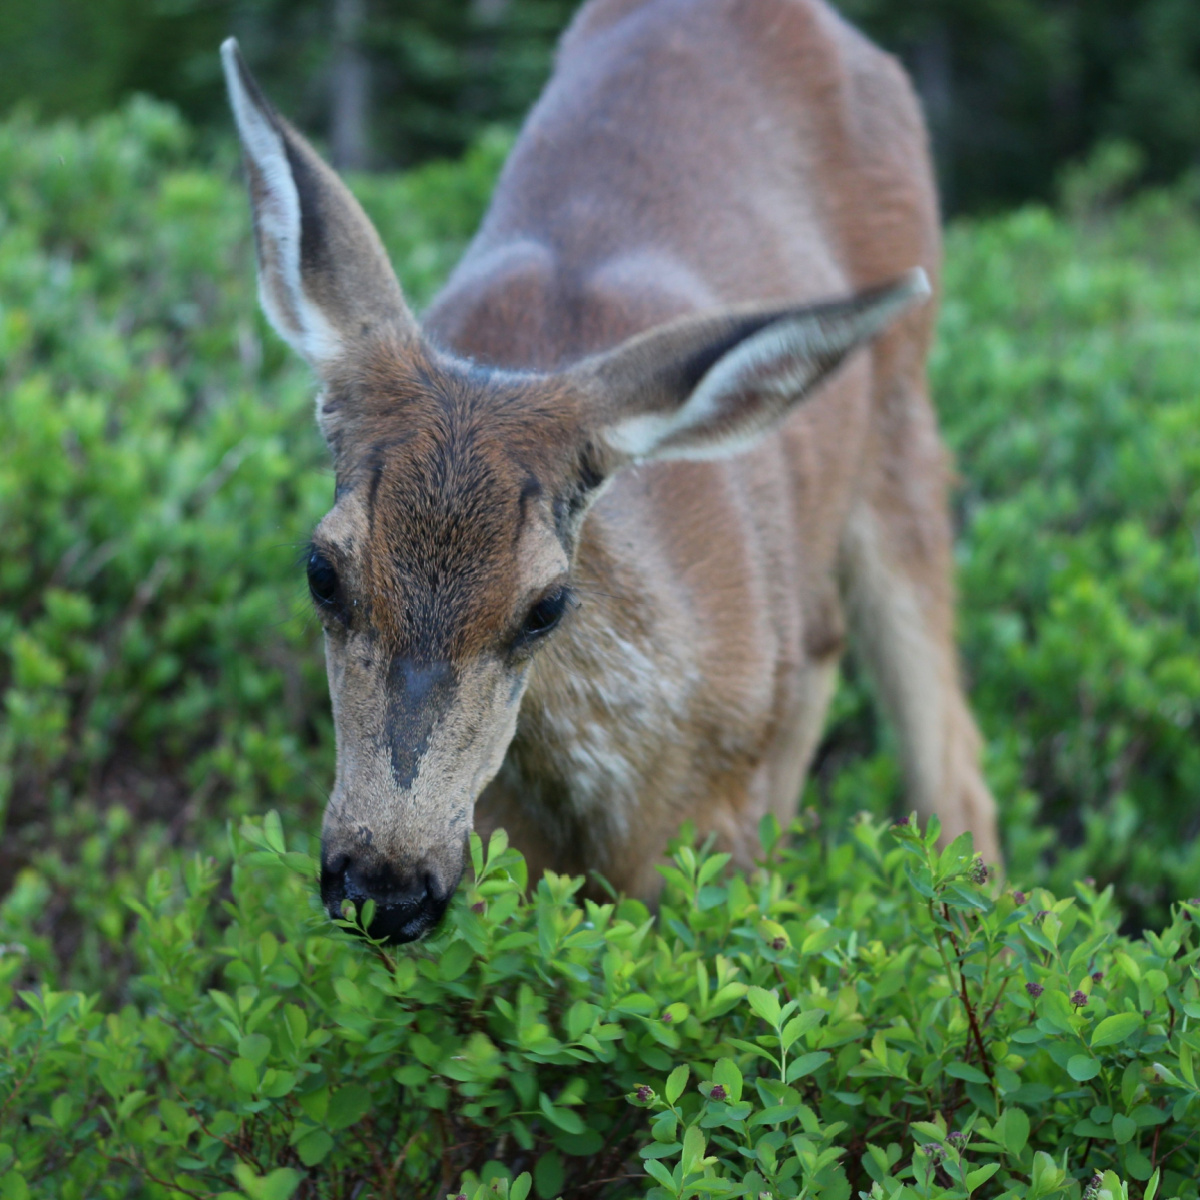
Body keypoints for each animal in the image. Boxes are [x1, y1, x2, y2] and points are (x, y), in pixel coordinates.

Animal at [220, 0, 999, 945]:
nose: (384, 887)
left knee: (954, 759)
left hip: (902, 424)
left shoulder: (717, 822)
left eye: (547, 603)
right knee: (824, 640)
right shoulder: (502, 838)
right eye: (321, 570)